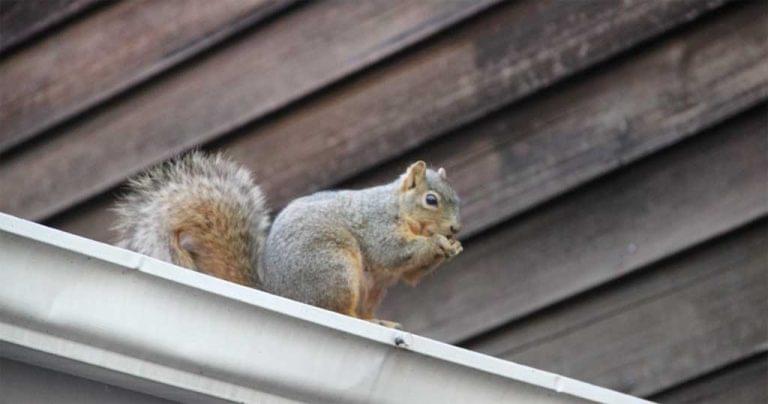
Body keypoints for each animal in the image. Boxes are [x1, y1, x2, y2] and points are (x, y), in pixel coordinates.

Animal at [114, 154, 463, 328]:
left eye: (457, 199)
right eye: (431, 200)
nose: (456, 229)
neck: (399, 208)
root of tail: (278, 292)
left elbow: (410, 274)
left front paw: (453, 248)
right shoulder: (378, 225)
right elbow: (394, 252)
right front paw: (438, 243)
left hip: (368, 289)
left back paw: (379, 322)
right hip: (334, 269)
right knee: (337, 310)